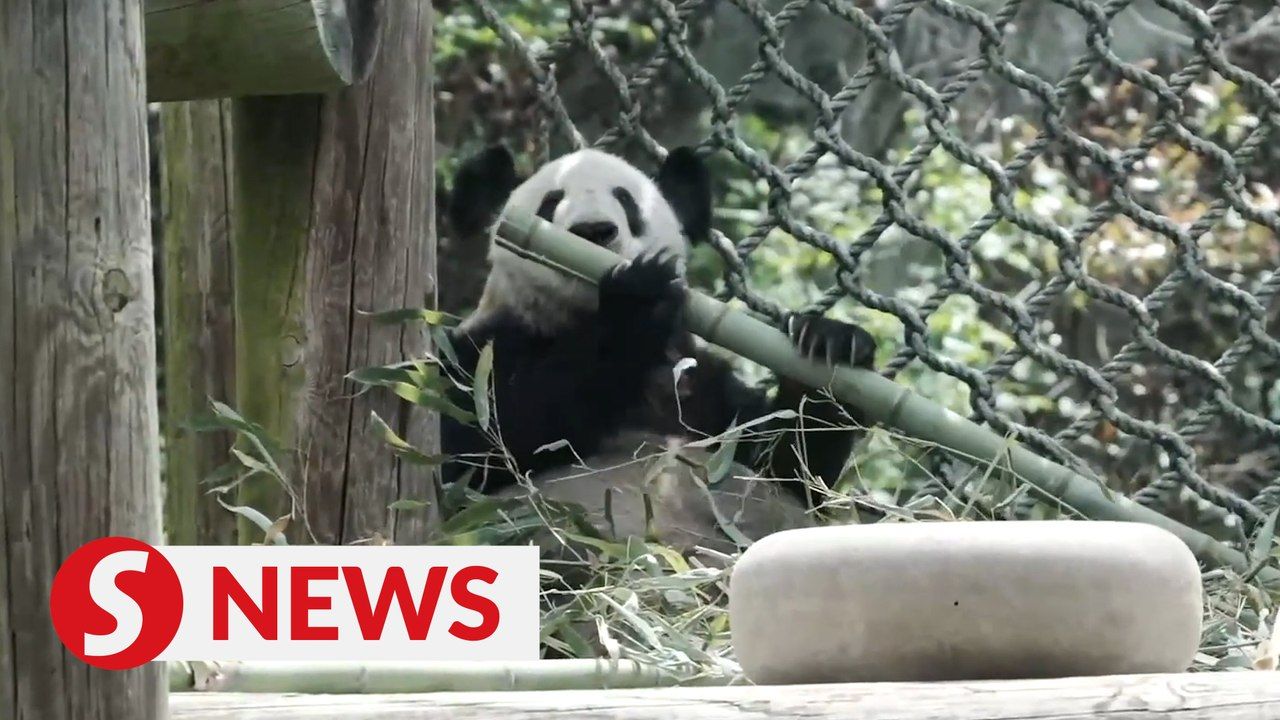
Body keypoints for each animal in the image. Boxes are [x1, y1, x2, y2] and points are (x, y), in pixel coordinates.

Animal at [439, 145, 876, 557]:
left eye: (626, 201)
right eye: (550, 202)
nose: (593, 230)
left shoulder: (704, 388)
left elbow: (789, 470)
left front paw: (832, 345)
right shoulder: (480, 350)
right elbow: (475, 446)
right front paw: (636, 301)